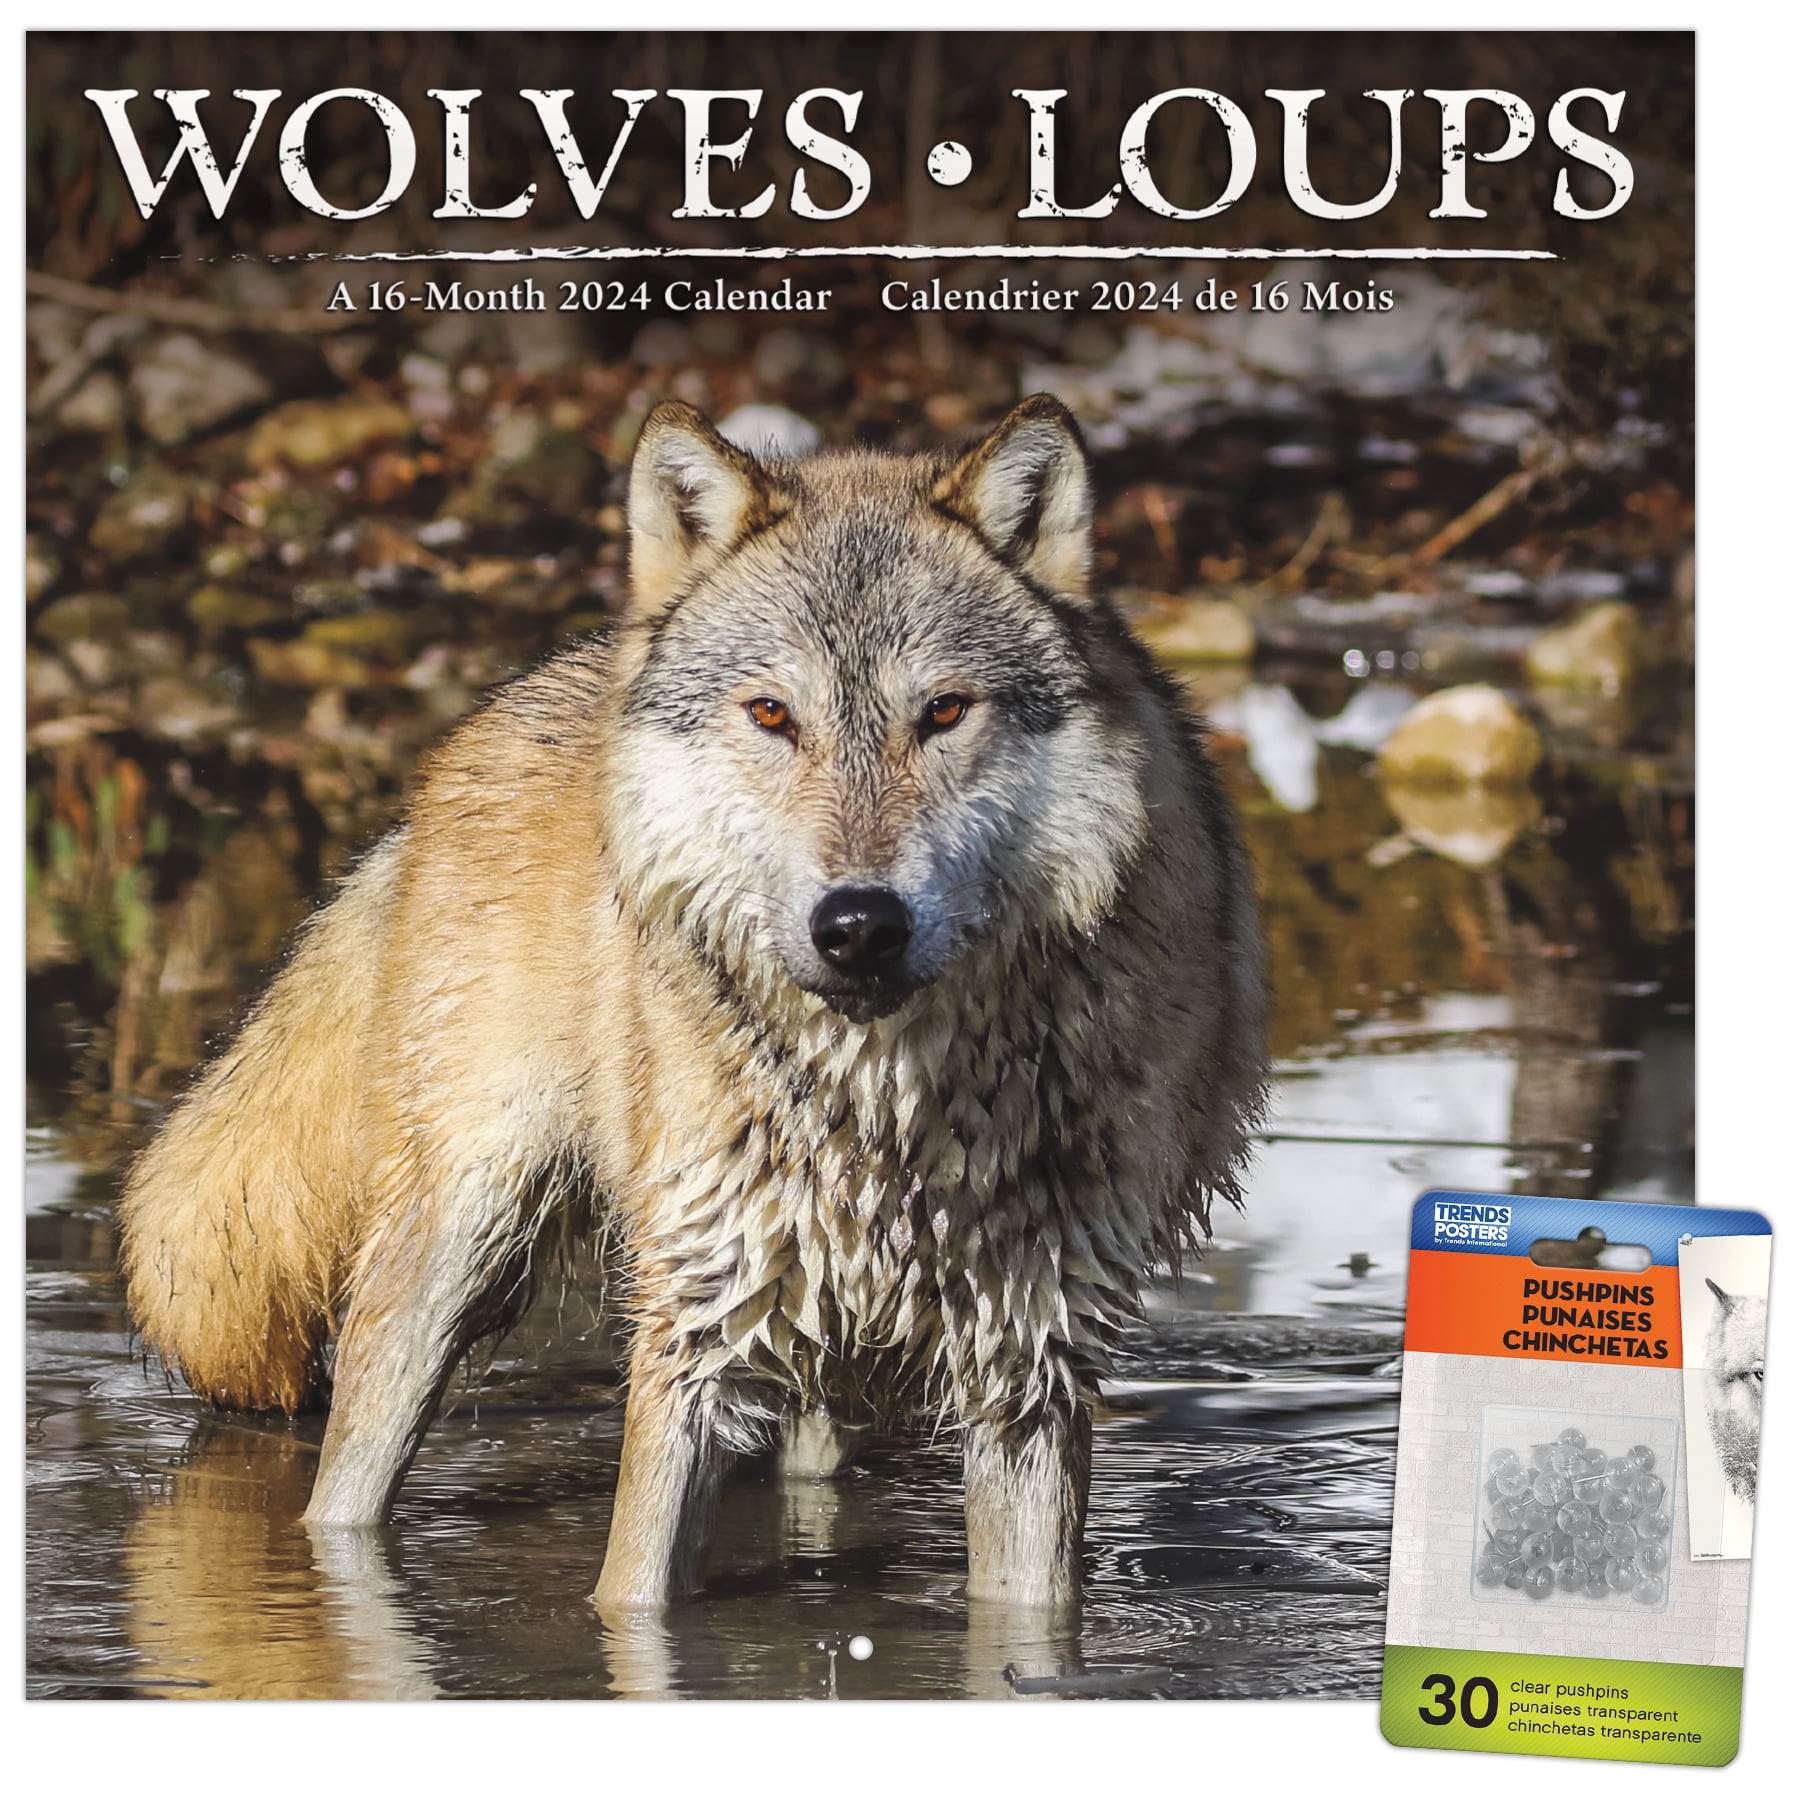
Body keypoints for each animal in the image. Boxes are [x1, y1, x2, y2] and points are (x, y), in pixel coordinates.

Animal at [119, 394, 1267, 1613]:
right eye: (770, 714)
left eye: (946, 712)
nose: (858, 924)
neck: (886, 1110)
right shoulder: (695, 1341)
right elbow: (633, 1597)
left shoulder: (1031, 1369)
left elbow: (1028, 1615)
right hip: (454, 1259)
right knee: (341, 1491)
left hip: (811, 1363)